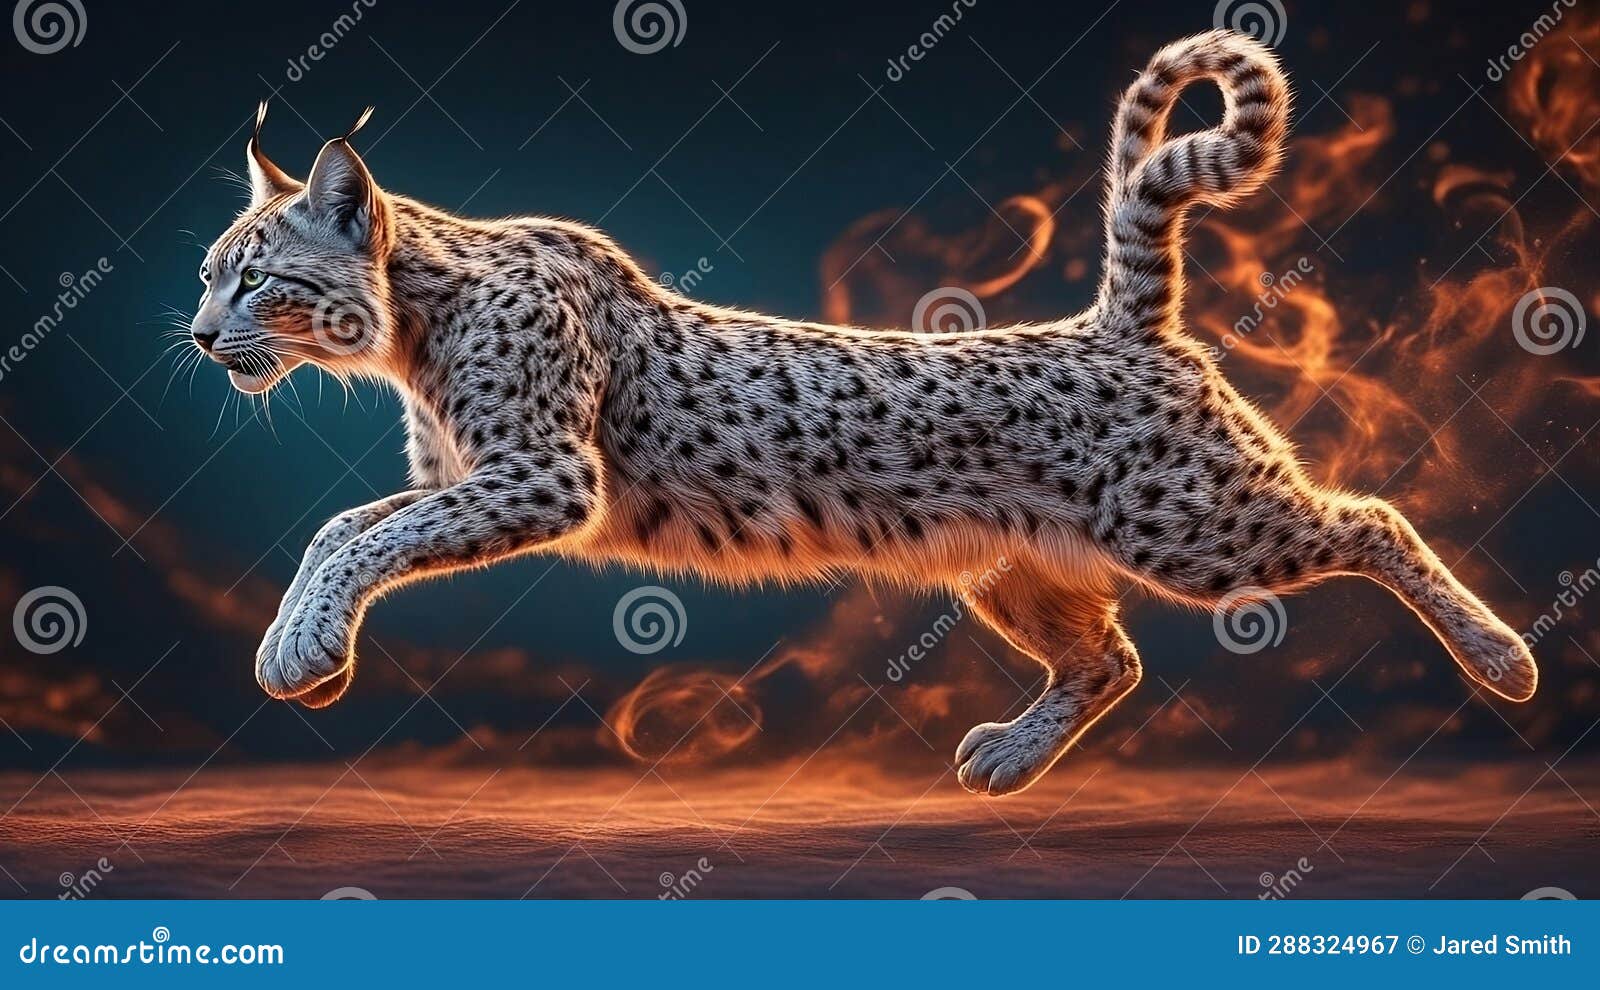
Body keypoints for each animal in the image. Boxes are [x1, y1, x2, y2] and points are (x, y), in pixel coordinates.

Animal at [189, 30, 1536, 797]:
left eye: (253, 278)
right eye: (210, 273)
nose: (198, 337)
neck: (409, 325)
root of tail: (1116, 322)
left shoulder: (543, 476)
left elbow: (367, 538)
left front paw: (305, 650)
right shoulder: (469, 476)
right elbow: (343, 529)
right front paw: (303, 650)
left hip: (1194, 525)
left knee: (1369, 518)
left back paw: (1502, 657)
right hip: (1015, 565)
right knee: (1110, 655)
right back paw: (1009, 757)